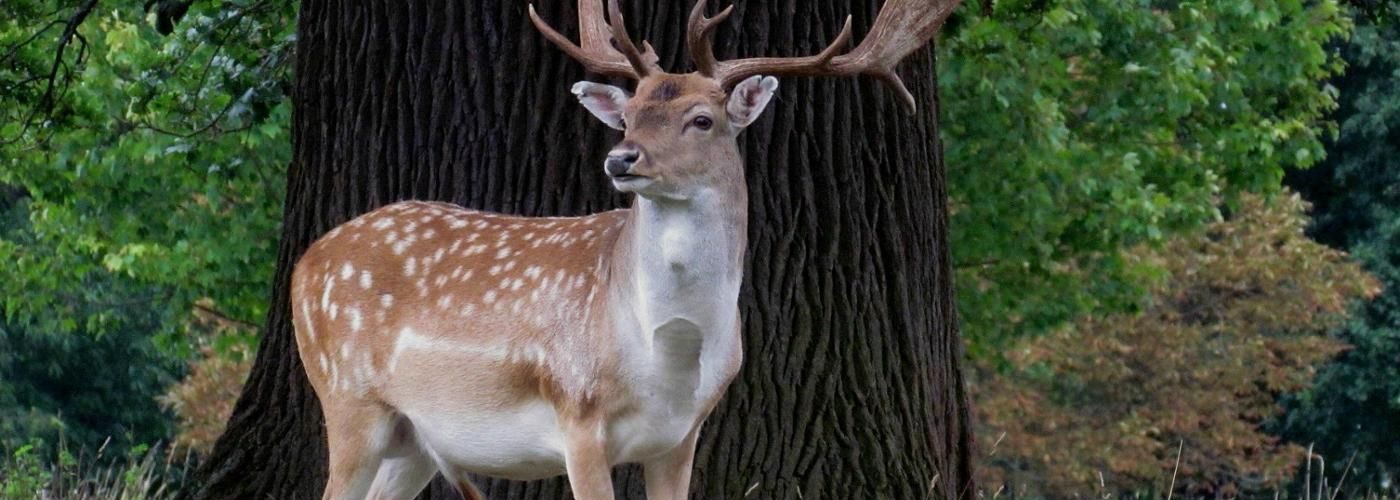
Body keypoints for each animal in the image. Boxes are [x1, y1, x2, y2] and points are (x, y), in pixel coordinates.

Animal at [290, 0, 961, 498]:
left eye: (702, 119)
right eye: (629, 114)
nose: (620, 158)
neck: (669, 349)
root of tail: (303, 261)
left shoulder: (682, 436)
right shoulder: (577, 416)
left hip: (416, 441)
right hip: (347, 398)